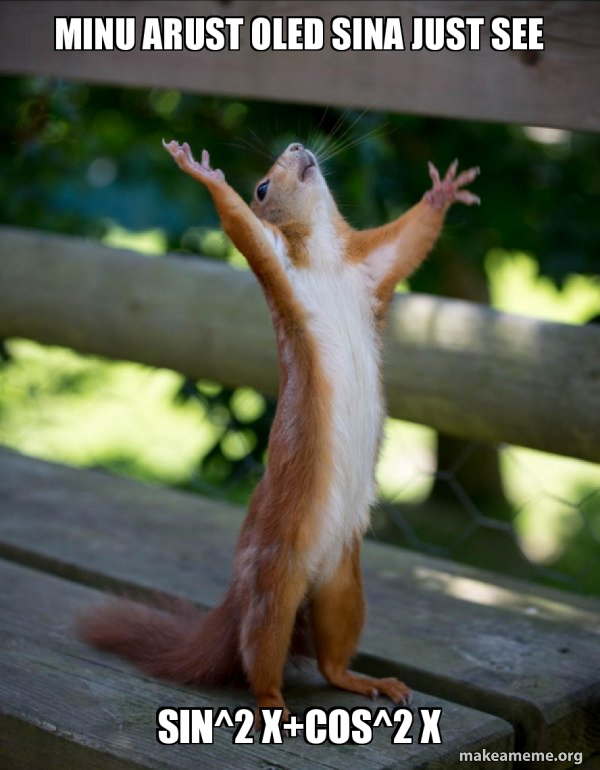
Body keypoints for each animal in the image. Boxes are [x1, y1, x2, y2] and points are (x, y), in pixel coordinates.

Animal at [78, 138, 479, 727]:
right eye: (262, 187)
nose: (296, 146)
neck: (327, 257)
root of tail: (239, 595)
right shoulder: (277, 265)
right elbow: (240, 225)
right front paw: (204, 173)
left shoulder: (371, 267)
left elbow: (410, 240)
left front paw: (443, 192)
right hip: (274, 583)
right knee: (259, 654)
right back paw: (273, 703)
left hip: (343, 587)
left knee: (331, 660)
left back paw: (367, 680)